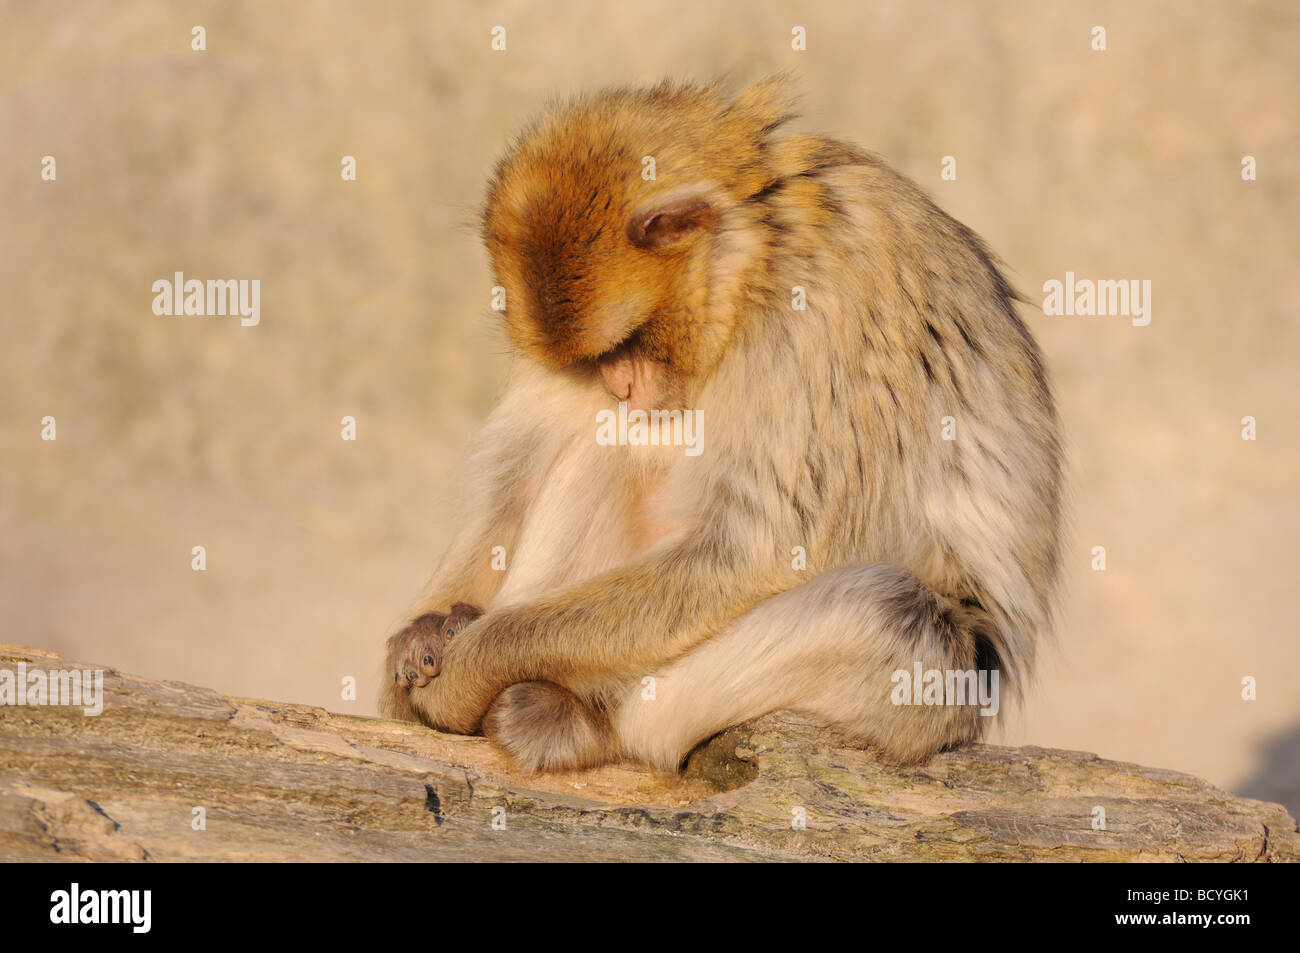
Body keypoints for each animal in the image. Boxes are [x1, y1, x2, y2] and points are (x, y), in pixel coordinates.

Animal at [380, 78, 1063, 775]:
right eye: (597, 360)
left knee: (897, 622)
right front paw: (428, 634)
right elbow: (519, 463)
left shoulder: (828, 306)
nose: (621, 386)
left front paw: (469, 665)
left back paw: (588, 724)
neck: (759, 257)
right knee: (605, 449)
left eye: (628, 344)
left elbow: (754, 553)